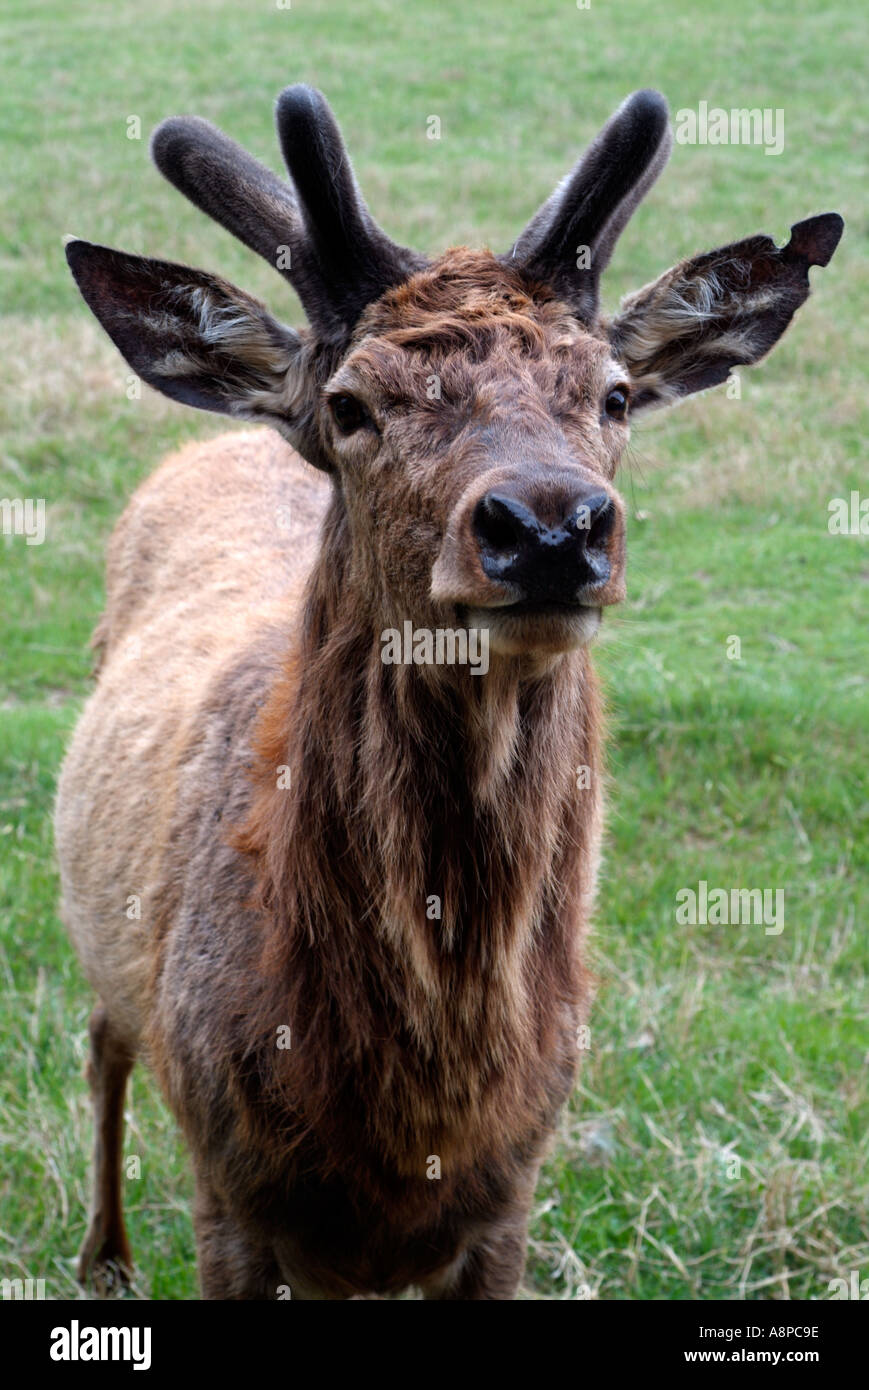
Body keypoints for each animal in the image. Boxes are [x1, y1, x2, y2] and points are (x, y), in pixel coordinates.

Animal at [56, 84, 842, 1300]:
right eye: (351, 402)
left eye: (615, 394)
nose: (551, 525)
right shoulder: (226, 1186)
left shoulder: (510, 1198)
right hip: (104, 928)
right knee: (100, 1047)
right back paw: (103, 1260)